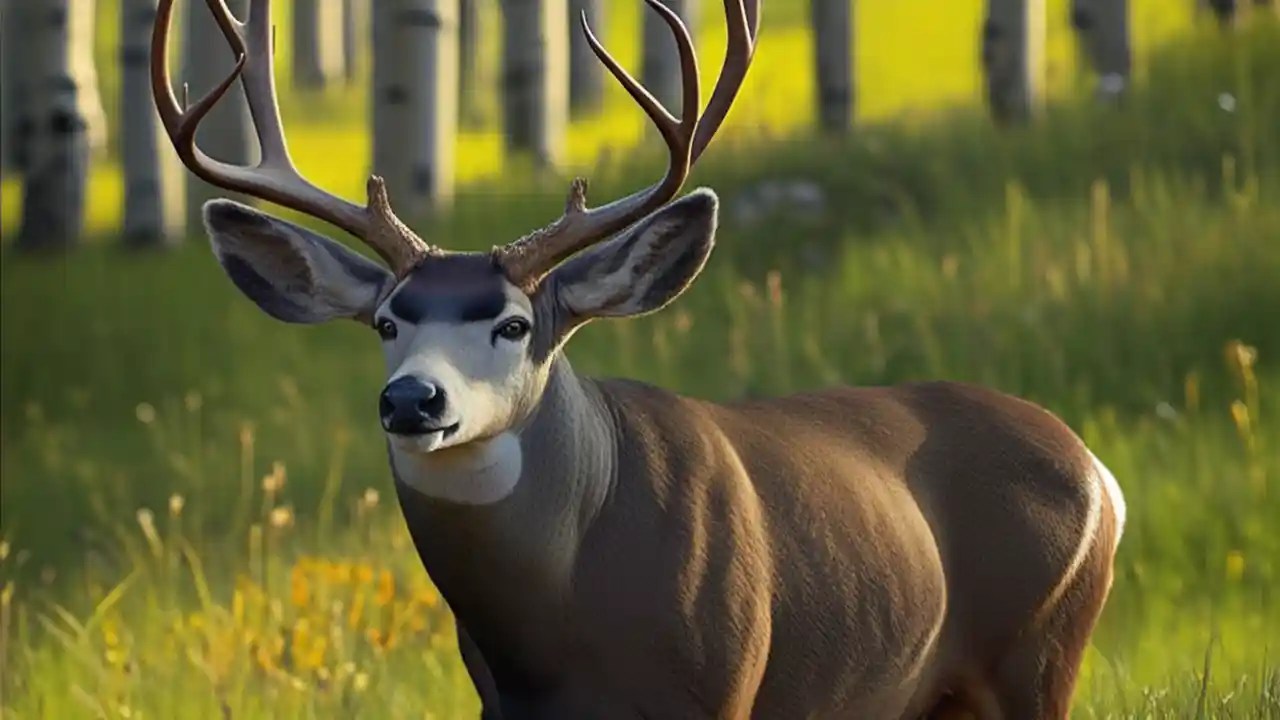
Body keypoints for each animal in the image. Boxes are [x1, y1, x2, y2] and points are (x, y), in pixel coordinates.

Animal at [151, 0, 1126, 717]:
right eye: (388, 322)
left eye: (514, 325)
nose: (414, 400)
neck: (564, 633)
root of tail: (1099, 470)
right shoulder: (502, 707)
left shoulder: (725, 683)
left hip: (1043, 649)